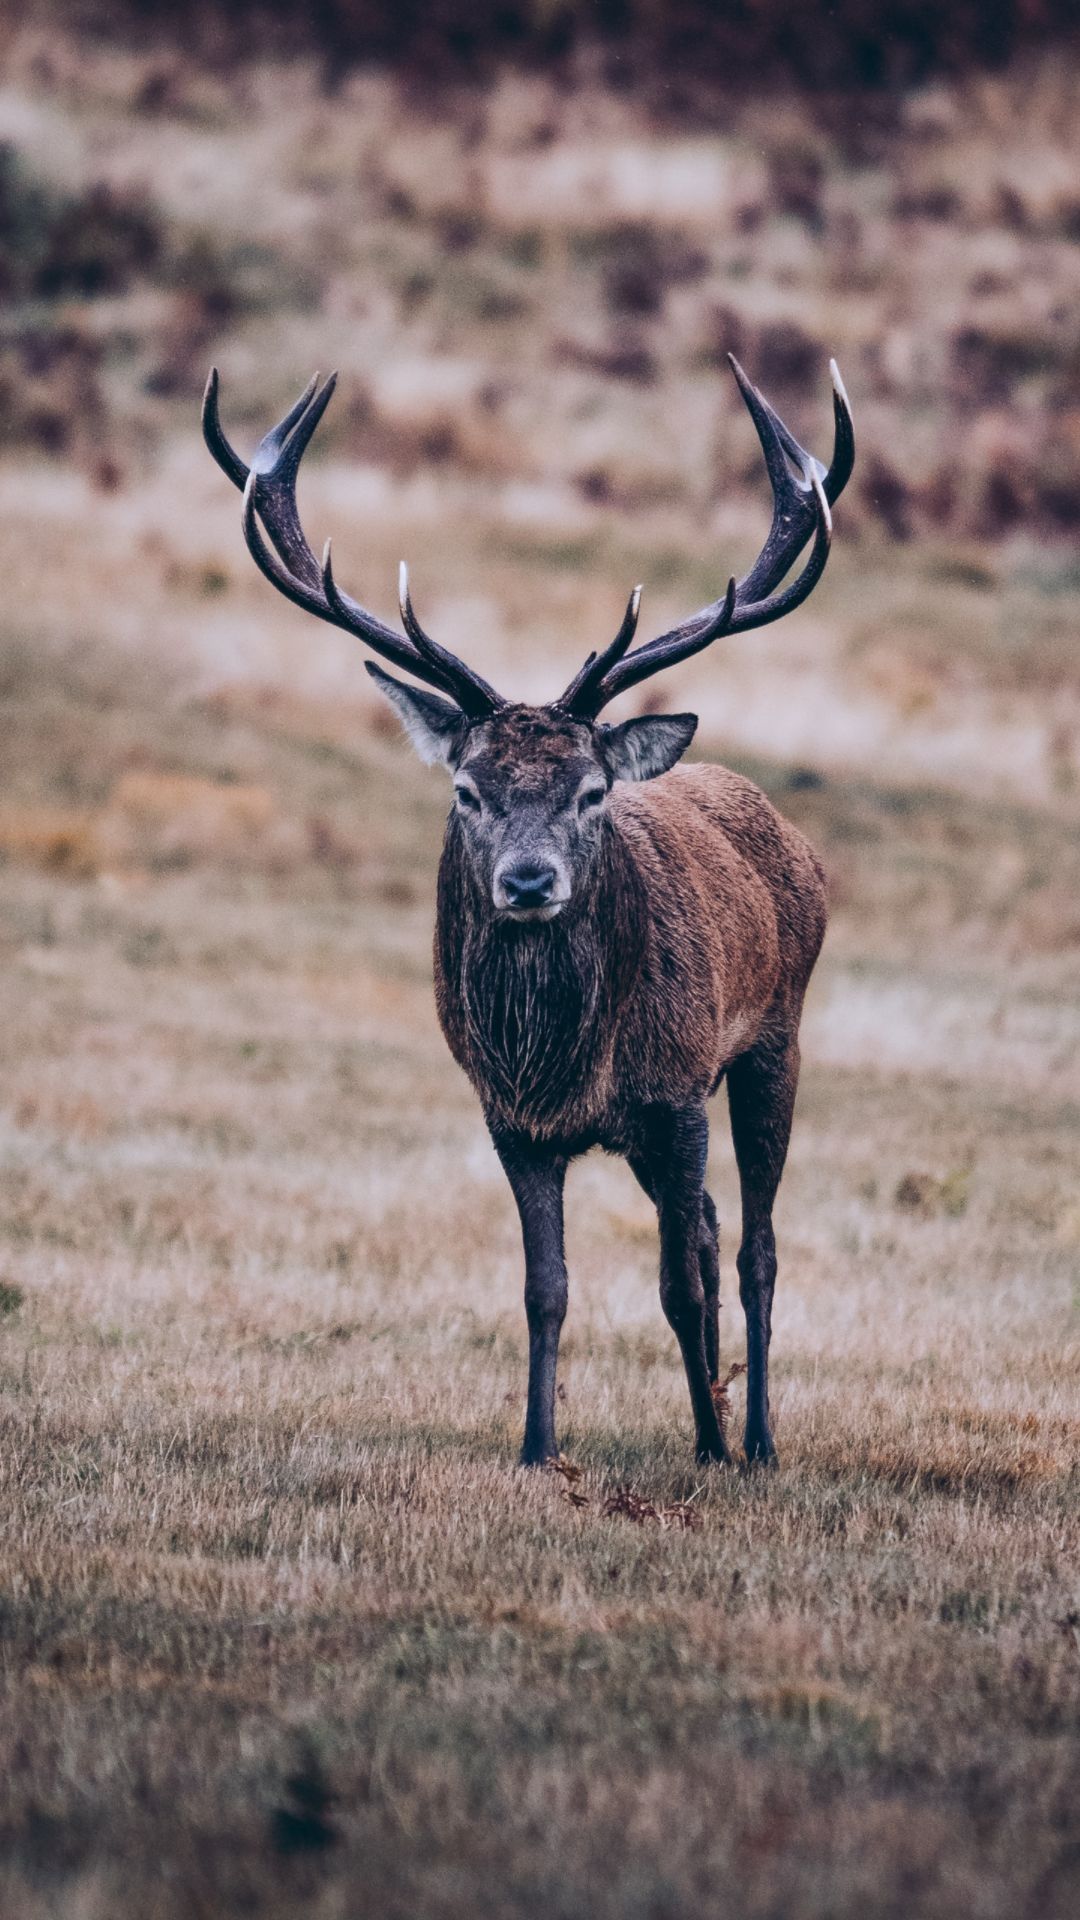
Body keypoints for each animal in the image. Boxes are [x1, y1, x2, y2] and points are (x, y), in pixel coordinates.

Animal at [203, 353, 853, 1468]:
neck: (564, 1060)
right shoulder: (511, 1118)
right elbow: (545, 1288)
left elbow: (681, 1282)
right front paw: (537, 1447)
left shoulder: (676, 1091)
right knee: (711, 1225)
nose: (529, 882)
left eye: (591, 792)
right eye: (468, 788)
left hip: (775, 1037)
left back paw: (756, 1440)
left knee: (755, 1245)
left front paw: (712, 1448)